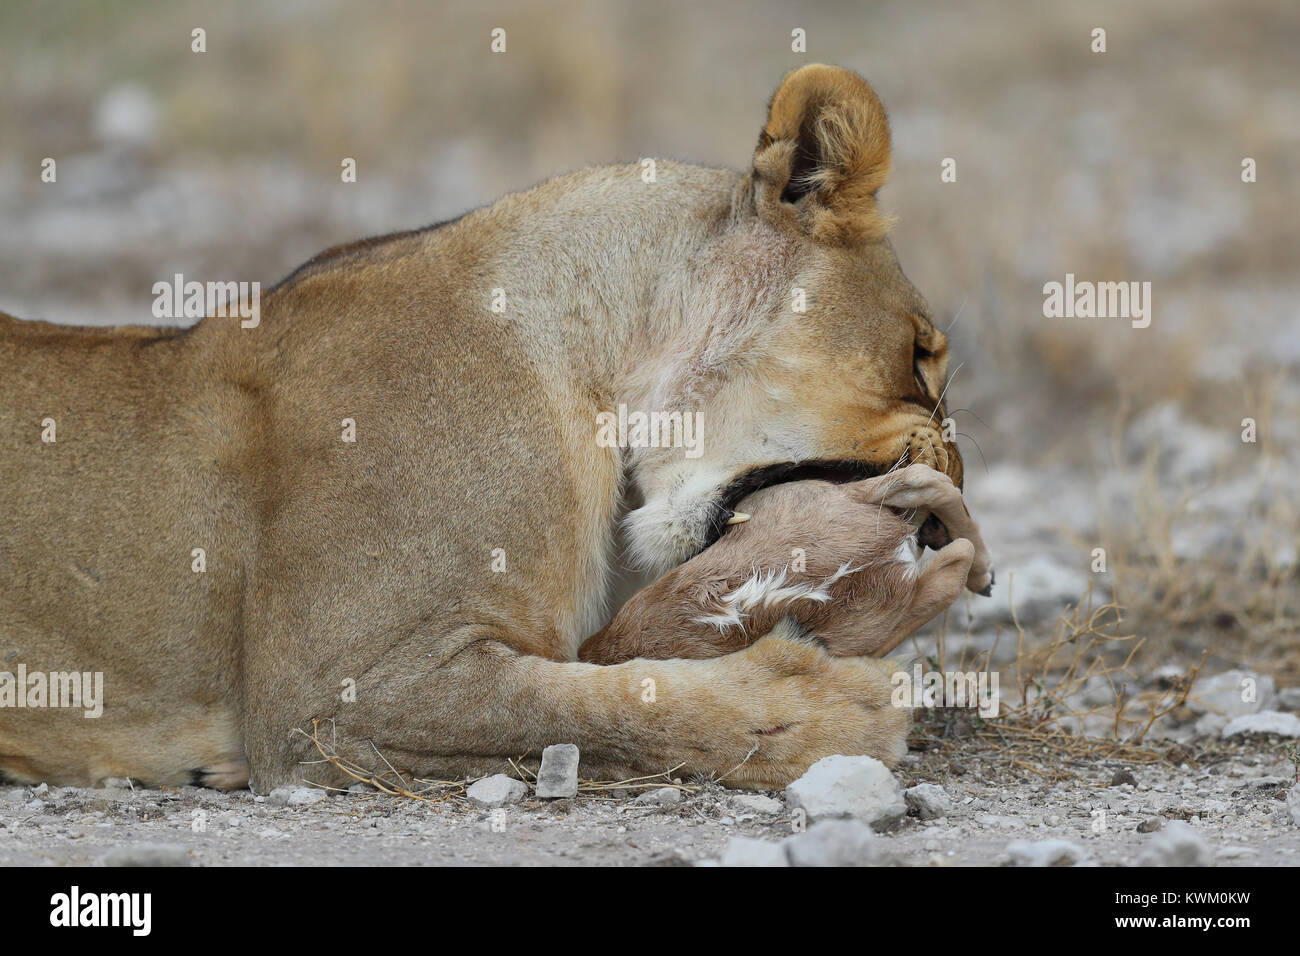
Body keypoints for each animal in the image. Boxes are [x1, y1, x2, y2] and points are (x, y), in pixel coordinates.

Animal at [0, 64, 992, 792]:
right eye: (919, 358)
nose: (956, 487)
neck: (597, 368)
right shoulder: (329, 695)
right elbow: (599, 707)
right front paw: (823, 708)